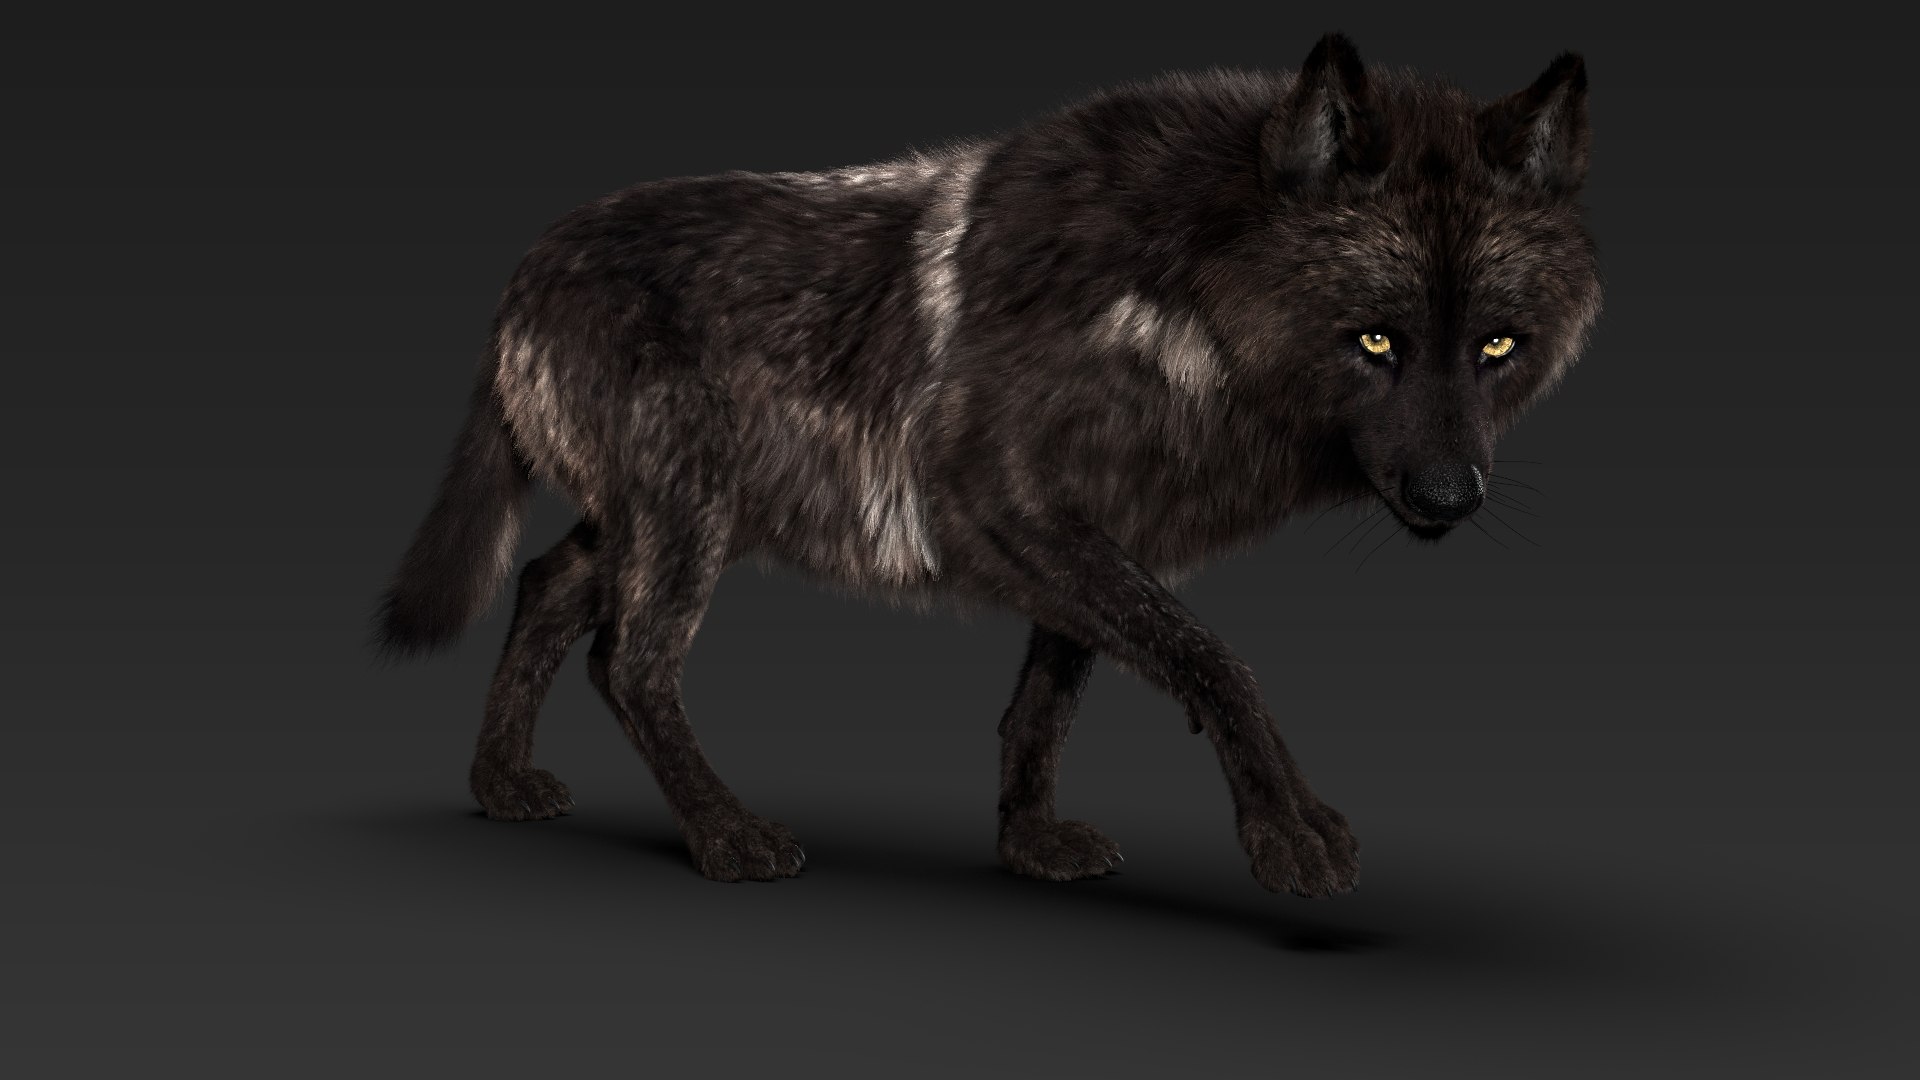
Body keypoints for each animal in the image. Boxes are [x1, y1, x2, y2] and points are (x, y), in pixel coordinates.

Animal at [373, 33, 1601, 898]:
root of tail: (528, 264)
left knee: (545, 586)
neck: (1182, 309)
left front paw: (1029, 840)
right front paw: (1287, 832)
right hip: (688, 516)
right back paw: (728, 835)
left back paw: (501, 784)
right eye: (1378, 342)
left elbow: (1046, 703)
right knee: (628, 660)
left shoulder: (1097, 527)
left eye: (1497, 346)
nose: (1452, 497)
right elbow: (1218, 664)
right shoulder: (997, 506)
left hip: (661, 516)